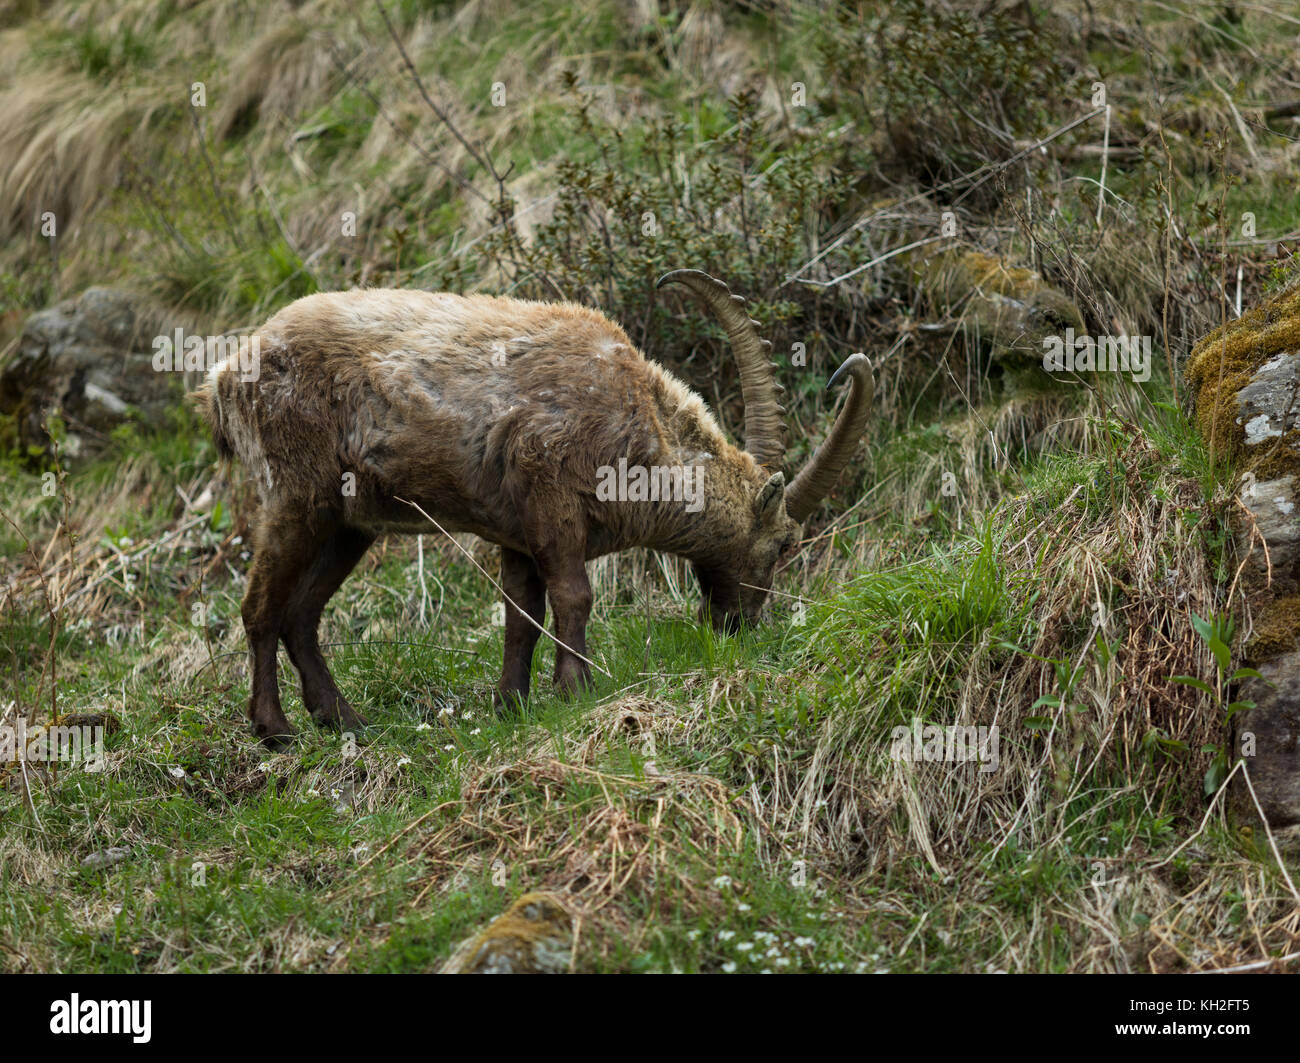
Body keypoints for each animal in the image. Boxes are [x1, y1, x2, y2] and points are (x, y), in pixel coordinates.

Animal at [194, 271, 874, 747]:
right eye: (783, 544)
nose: (741, 629)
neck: (643, 430)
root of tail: (224, 377)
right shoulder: (551, 497)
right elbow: (574, 595)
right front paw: (577, 687)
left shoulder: (515, 536)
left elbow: (522, 614)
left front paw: (511, 702)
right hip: (295, 497)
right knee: (260, 608)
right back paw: (274, 728)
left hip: (348, 524)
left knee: (301, 615)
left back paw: (343, 719)